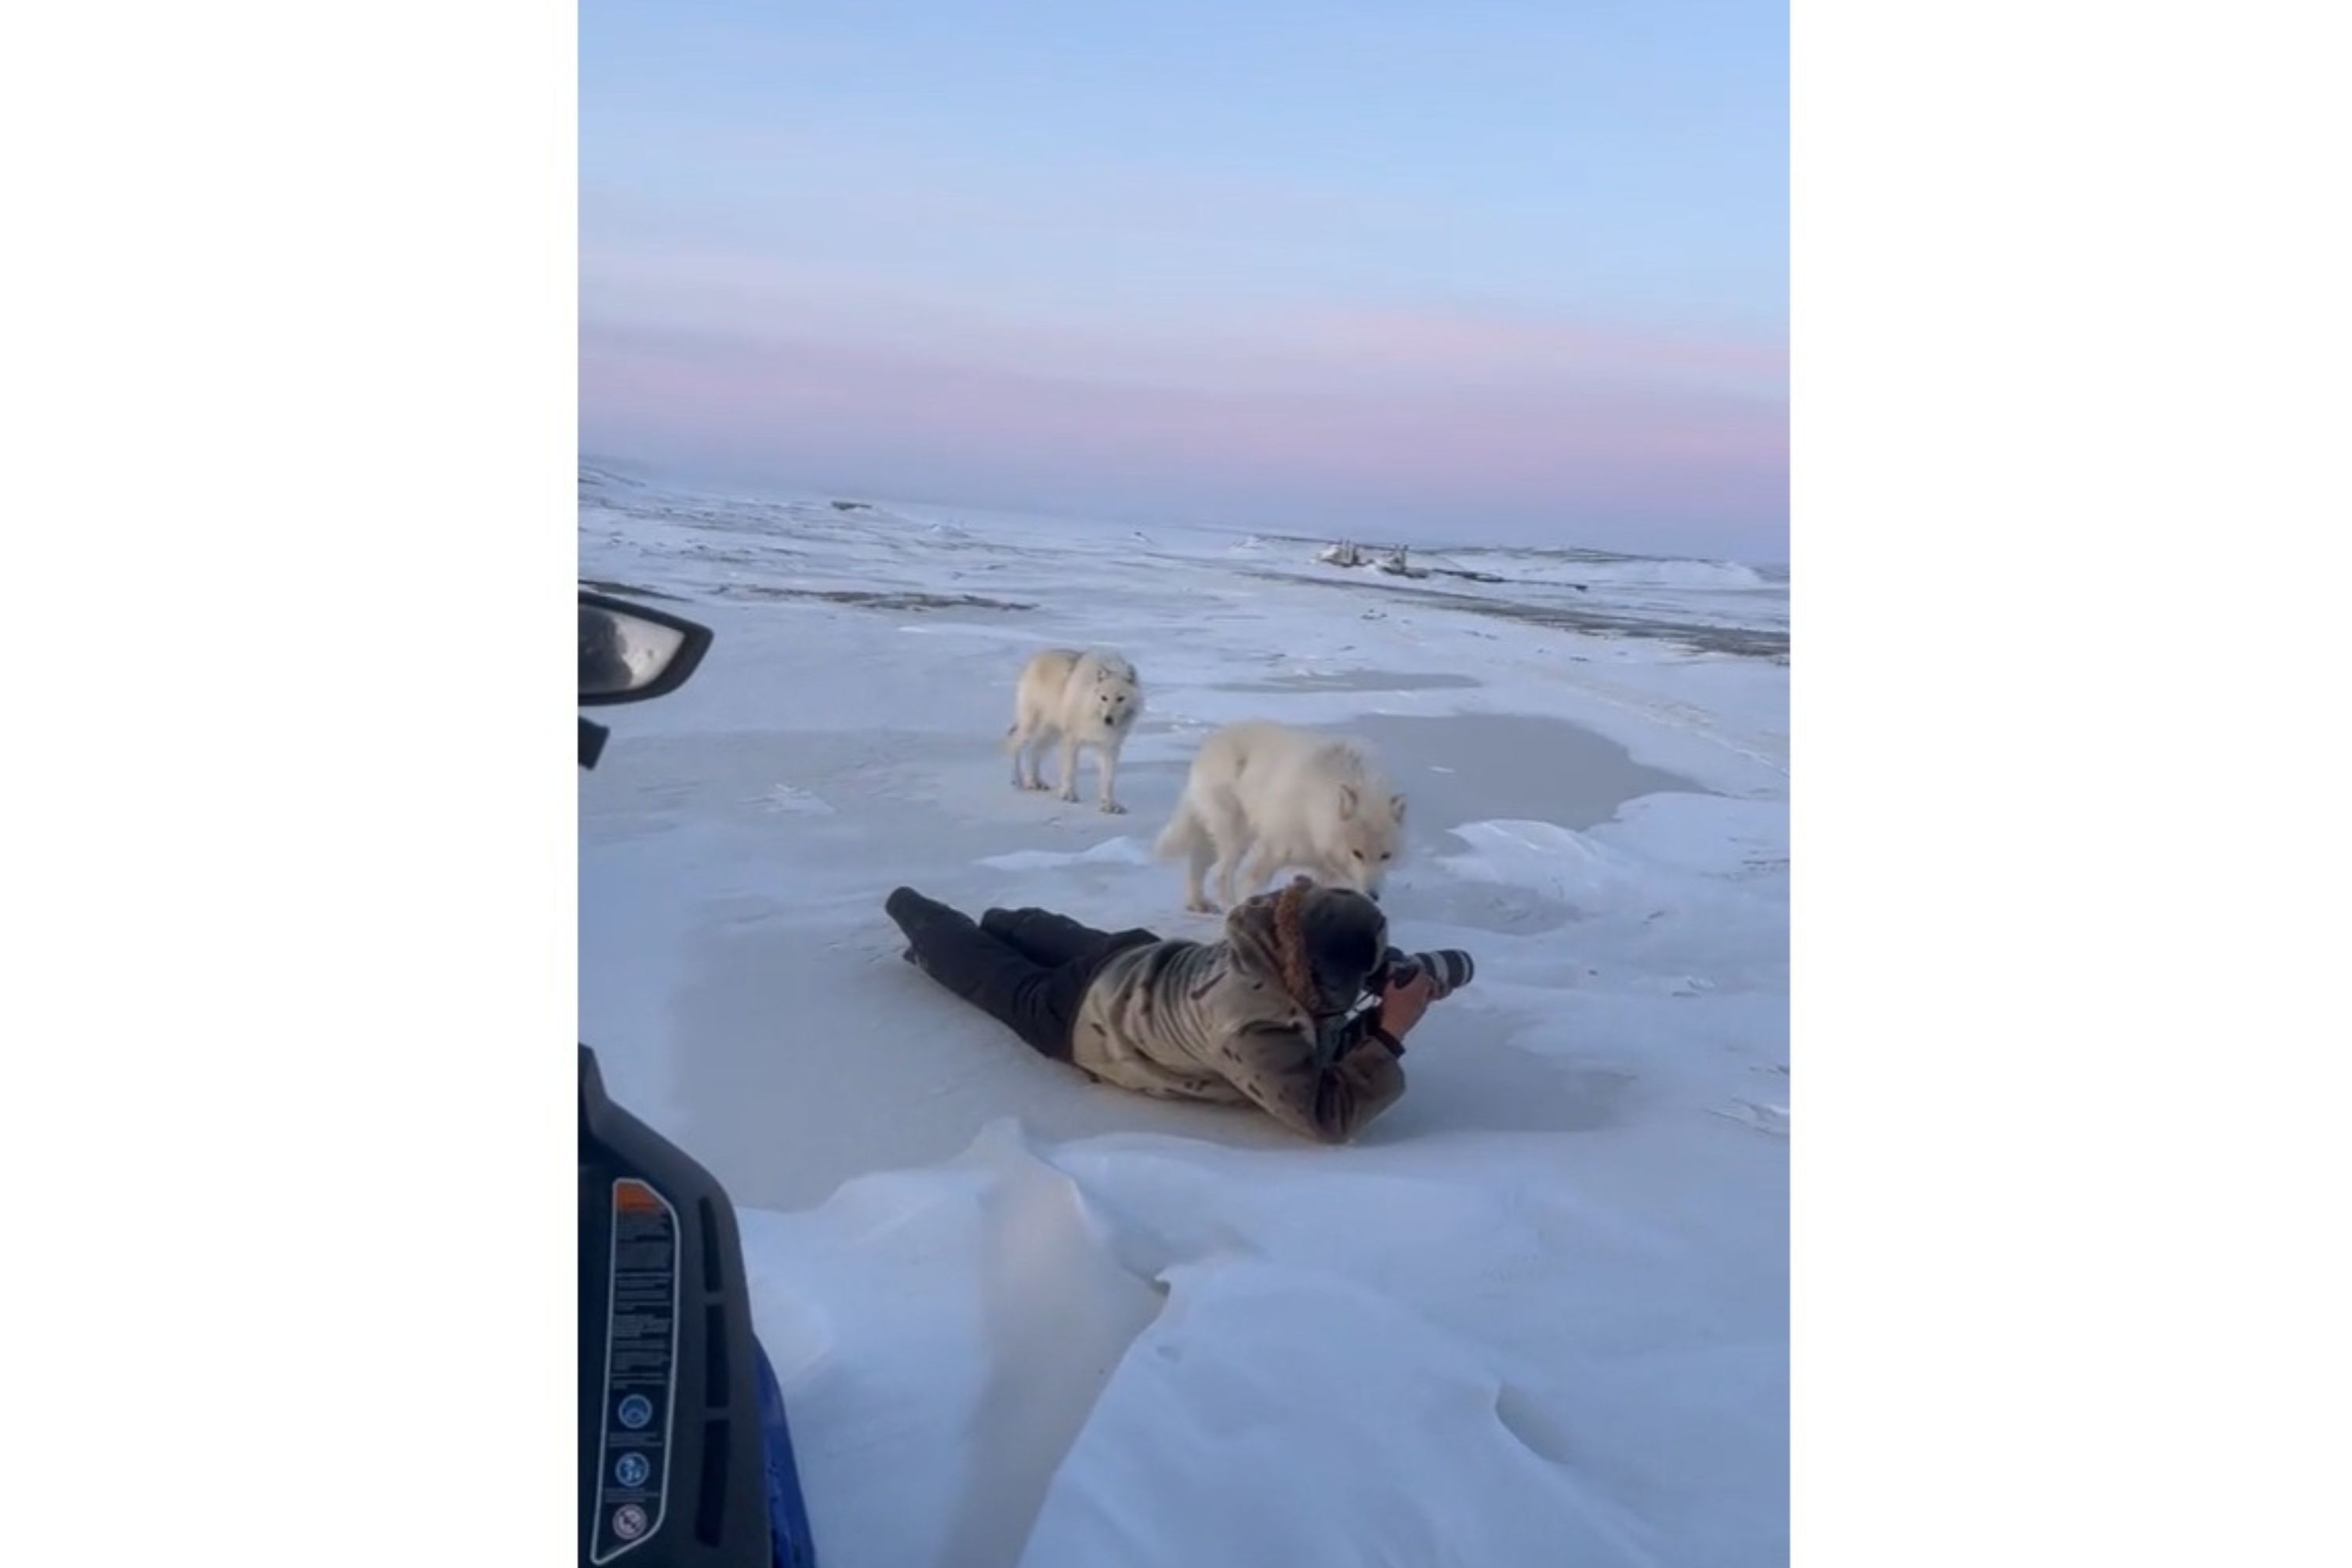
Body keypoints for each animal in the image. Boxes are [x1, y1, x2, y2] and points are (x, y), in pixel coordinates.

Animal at [1004, 648, 1144, 813]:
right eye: (1104, 698)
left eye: (1120, 698)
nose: (1108, 720)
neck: (1090, 706)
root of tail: (1035, 659)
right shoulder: (1072, 740)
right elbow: (1070, 771)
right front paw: (1068, 795)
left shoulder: (1109, 747)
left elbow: (1108, 779)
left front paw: (1109, 805)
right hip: (1031, 726)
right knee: (1014, 743)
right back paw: (1017, 781)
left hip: (1052, 733)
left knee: (1034, 750)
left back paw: (1035, 782)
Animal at [1153, 721, 1407, 912]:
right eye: (1357, 853)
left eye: (1386, 856)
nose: (1372, 895)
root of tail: (1211, 743)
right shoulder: (1273, 851)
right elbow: (1249, 883)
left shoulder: (1327, 869)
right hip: (1236, 838)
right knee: (1220, 874)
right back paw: (1227, 906)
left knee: (1197, 863)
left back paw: (1197, 903)